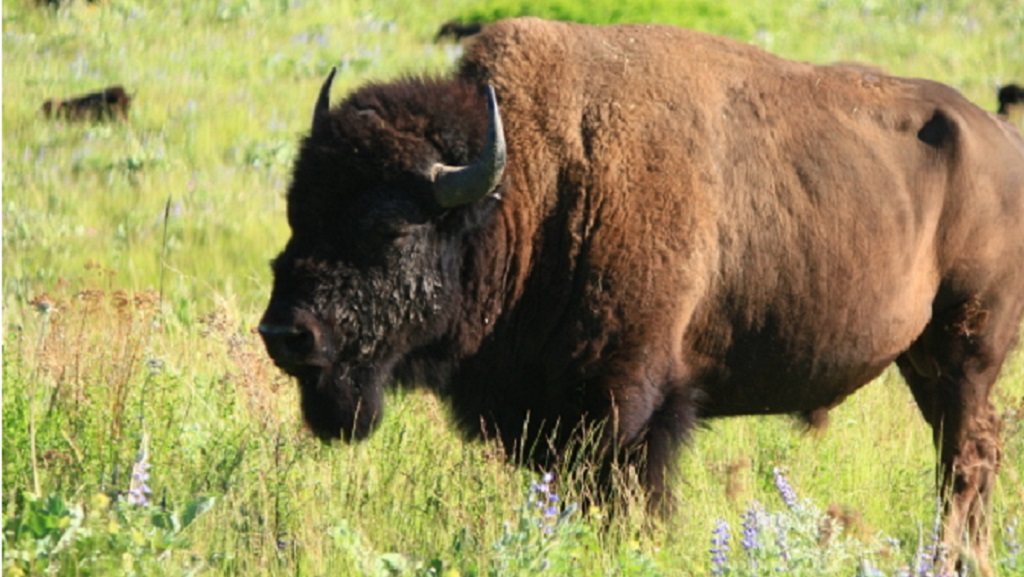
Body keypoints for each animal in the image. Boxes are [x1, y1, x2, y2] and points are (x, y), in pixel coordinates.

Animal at [259, 18, 1024, 575]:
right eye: (297, 211)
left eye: (389, 226)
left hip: (966, 347)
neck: (535, 190)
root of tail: (1001, 137)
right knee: (964, 450)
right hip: (924, 358)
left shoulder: (631, 402)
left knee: (968, 454)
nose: (286, 334)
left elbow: (629, 500)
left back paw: (953, 559)